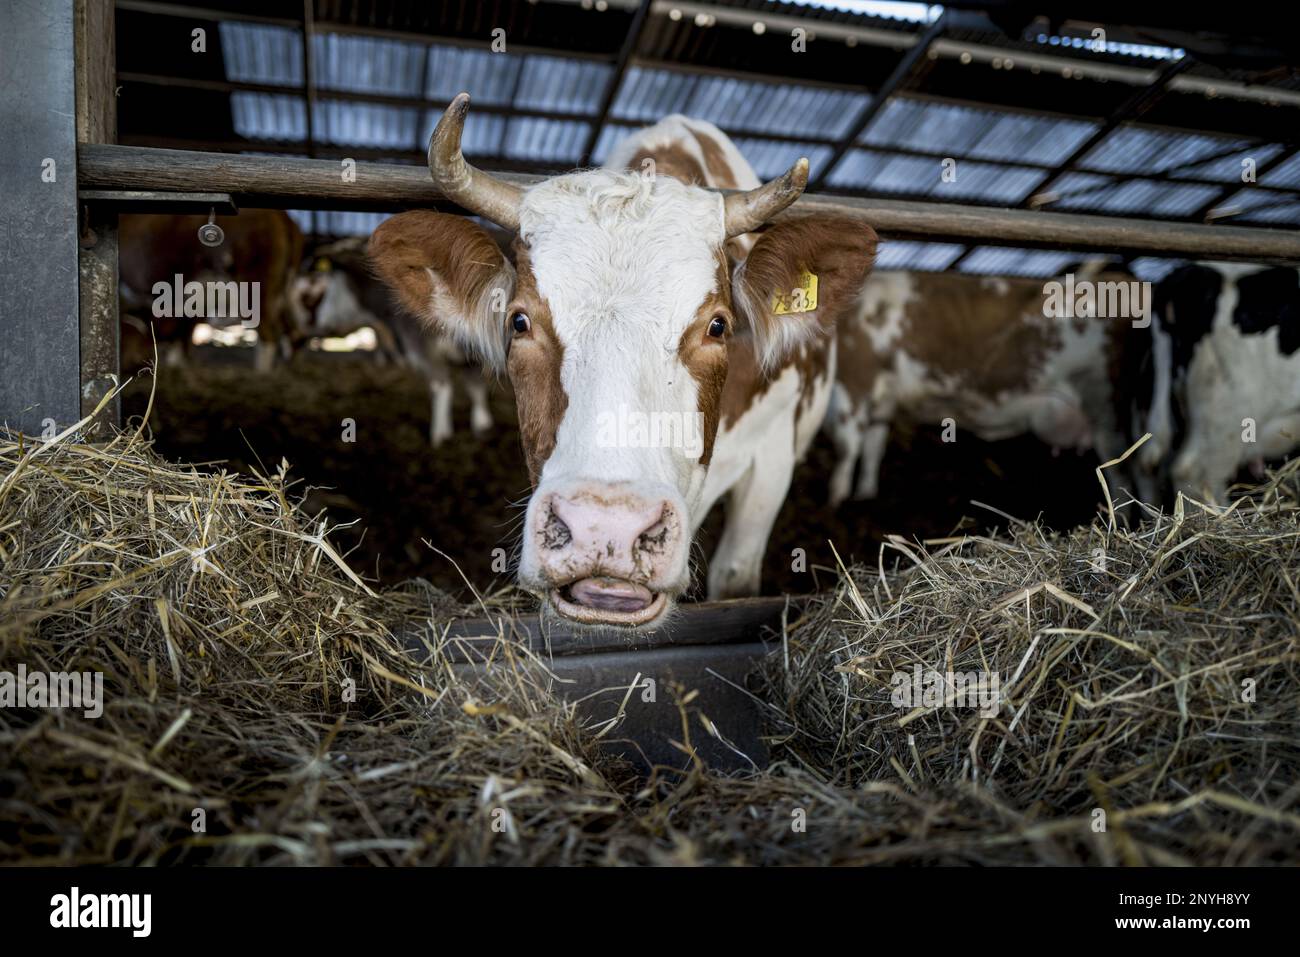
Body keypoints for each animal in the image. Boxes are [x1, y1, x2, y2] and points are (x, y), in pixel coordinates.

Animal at [118, 209, 304, 372]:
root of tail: (282, 216)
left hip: (256, 288)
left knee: (270, 333)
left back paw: (262, 374)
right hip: (278, 293)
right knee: (289, 331)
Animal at [289, 237, 495, 444]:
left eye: (323, 291)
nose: (313, 322)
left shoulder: (421, 344)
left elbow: (442, 386)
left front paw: (439, 435)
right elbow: (475, 386)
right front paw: (482, 425)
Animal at [823, 265, 1149, 507]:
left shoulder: (854, 381)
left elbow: (846, 447)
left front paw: (836, 501)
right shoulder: (882, 399)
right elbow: (872, 448)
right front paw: (864, 496)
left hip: (1105, 407)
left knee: (1121, 474)